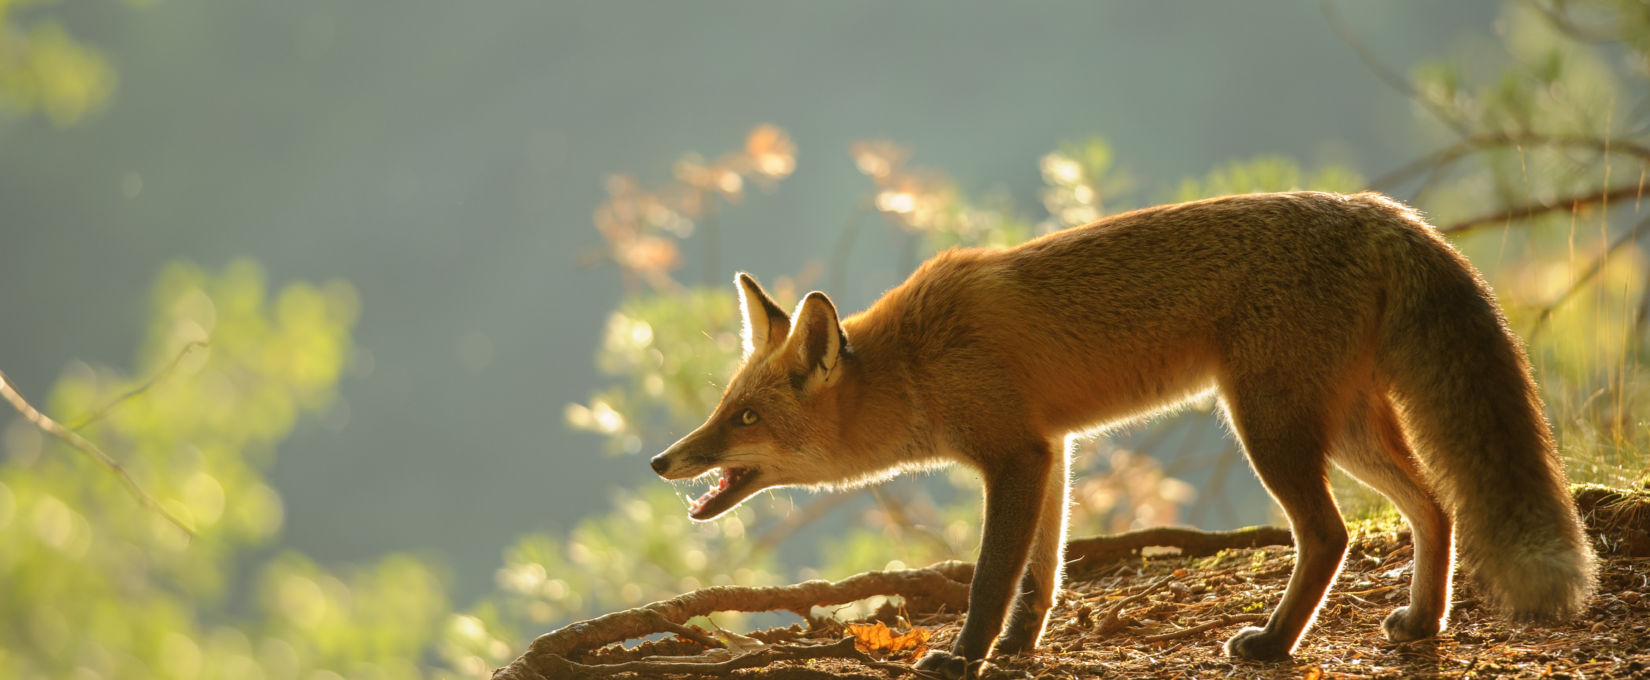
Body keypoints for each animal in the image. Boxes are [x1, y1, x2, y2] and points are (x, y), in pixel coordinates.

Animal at [648, 191, 1596, 677]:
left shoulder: (1014, 456)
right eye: (722, 408)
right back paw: (1423, 622)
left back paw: (1273, 645)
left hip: (1270, 427)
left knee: (1330, 535)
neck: (919, 361)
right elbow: (1042, 576)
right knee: (1435, 508)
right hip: (1348, 427)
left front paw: (964, 657)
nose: (664, 460)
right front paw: (1021, 649)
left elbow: (991, 579)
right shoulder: (1050, 450)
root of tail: (1377, 209)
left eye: (744, 419)